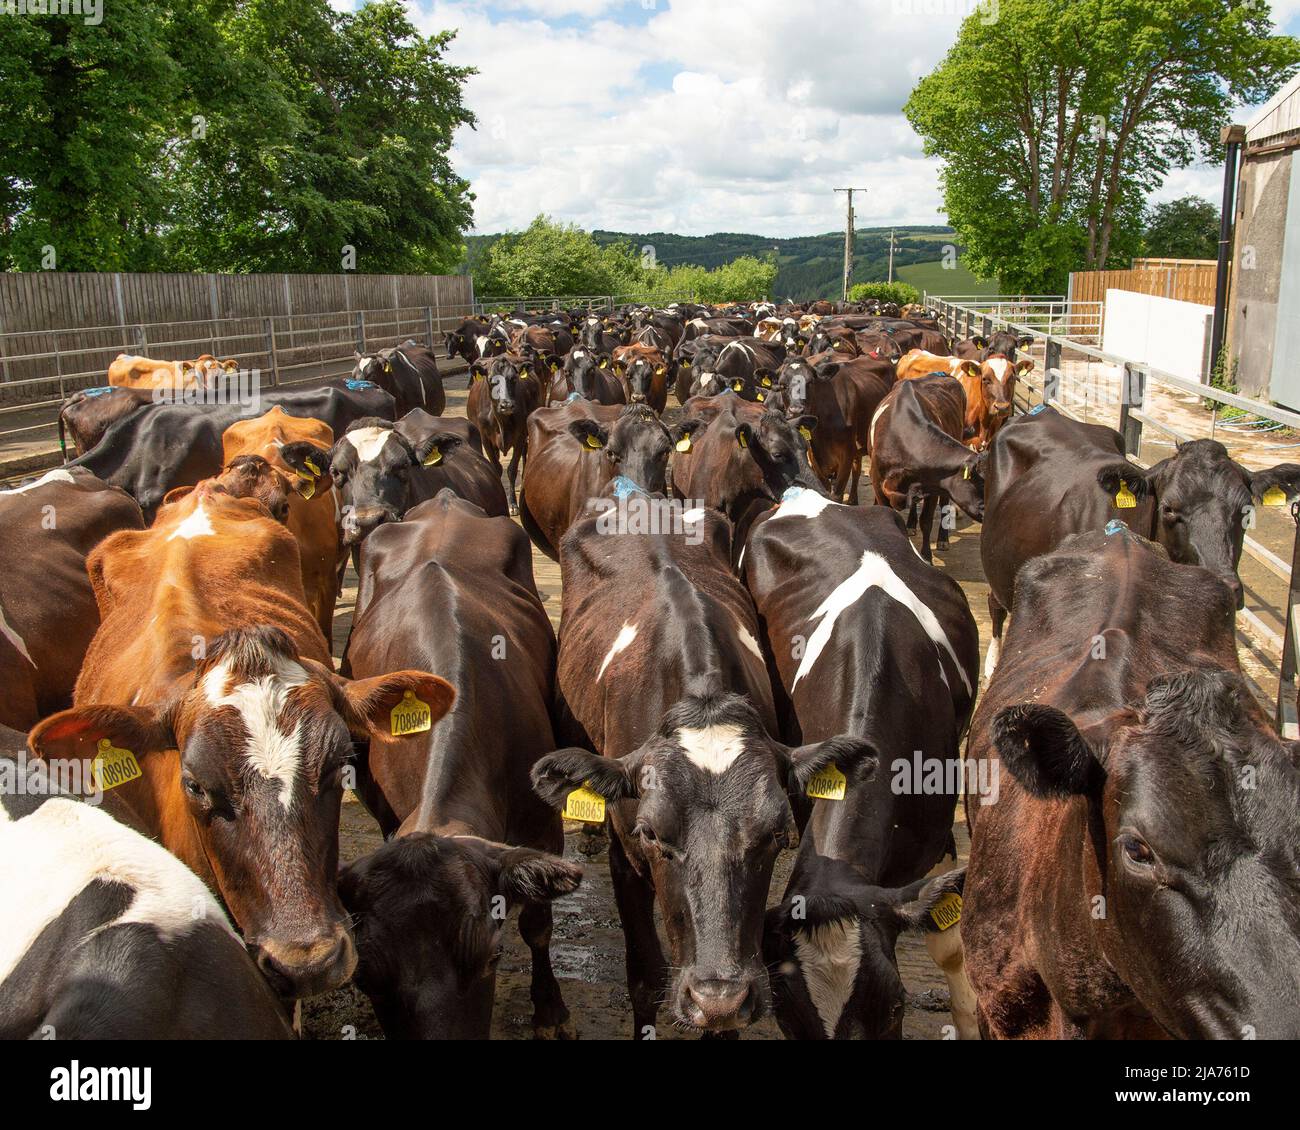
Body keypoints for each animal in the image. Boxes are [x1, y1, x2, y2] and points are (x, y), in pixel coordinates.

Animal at [467, 355, 543, 515]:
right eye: (492, 380)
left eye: (513, 379)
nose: (506, 405)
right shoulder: (485, 439)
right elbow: (496, 468)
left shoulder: (520, 436)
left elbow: (512, 469)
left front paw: (513, 503)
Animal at [869, 374, 984, 562]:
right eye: (983, 481)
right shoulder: (878, 482)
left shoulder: (934, 487)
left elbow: (926, 521)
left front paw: (926, 557)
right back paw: (910, 524)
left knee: (944, 503)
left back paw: (943, 539)